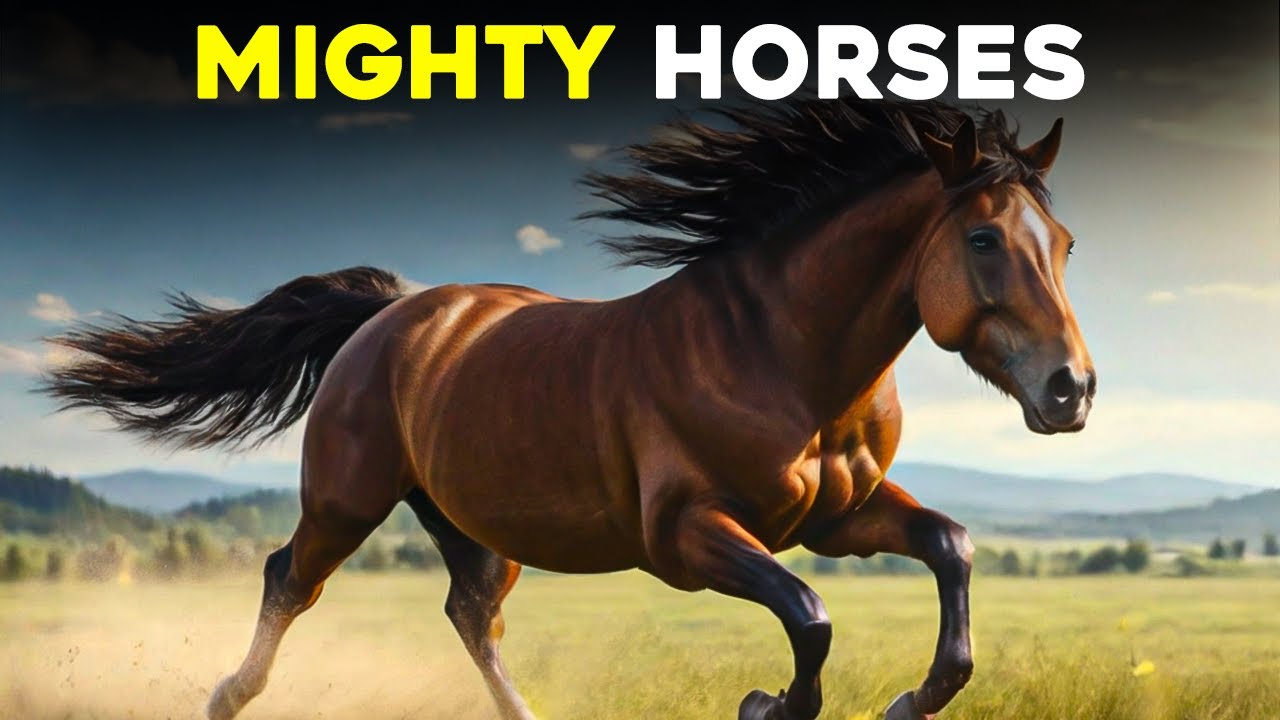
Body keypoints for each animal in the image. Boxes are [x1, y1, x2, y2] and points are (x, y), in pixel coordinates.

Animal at [40, 97, 1095, 720]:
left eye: (1067, 243)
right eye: (984, 240)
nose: (1072, 390)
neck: (781, 353)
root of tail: (391, 312)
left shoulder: (835, 518)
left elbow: (951, 549)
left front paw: (909, 701)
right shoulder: (688, 534)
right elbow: (810, 615)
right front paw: (767, 706)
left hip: (475, 524)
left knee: (470, 615)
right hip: (347, 499)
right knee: (287, 581)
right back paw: (226, 695)